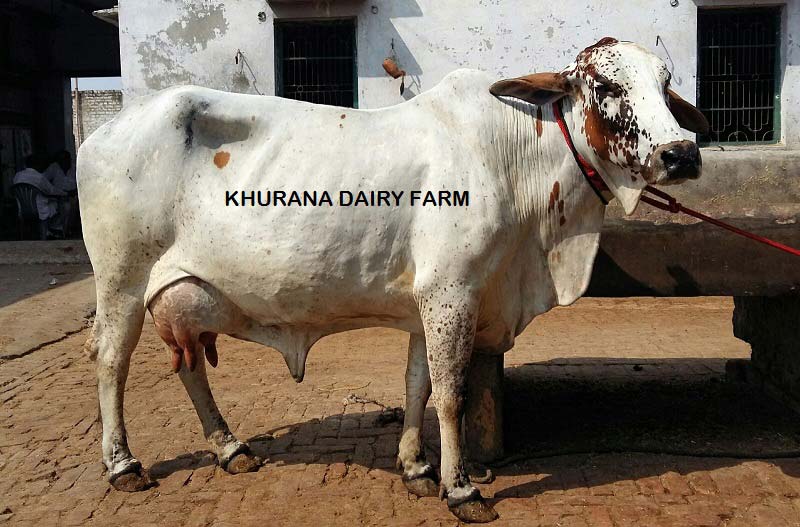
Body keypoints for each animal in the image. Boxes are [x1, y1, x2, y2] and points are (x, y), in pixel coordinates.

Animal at [79, 37, 708, 522]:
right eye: (606, 86)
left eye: (664, 82)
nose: (681, 153)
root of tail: (104, 131)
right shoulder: (452, 290)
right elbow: (451, 394)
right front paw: (461, 488)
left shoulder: (424, 304)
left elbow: (416, 386)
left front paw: (416, 468)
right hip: (121, 281)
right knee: (111, 361)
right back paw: (123, 464)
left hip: (180, 293)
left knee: (187, 366)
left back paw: (230, 448)